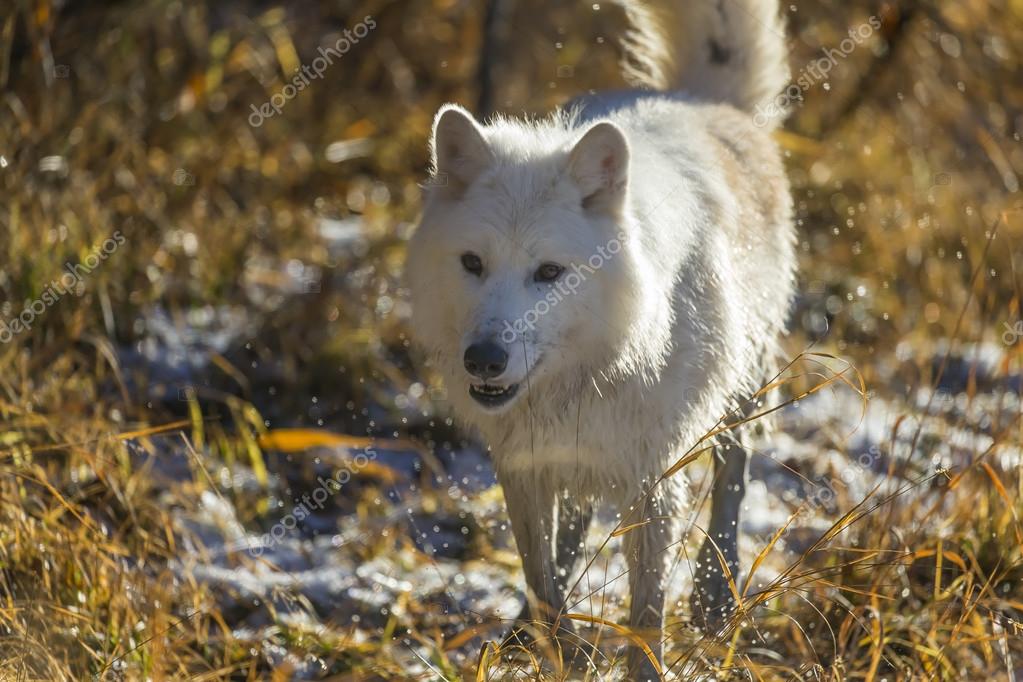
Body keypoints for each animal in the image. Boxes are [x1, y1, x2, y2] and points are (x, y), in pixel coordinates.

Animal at [405, 0, 794, 677]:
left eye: (549, 273)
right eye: (472, 263)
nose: (483, 360)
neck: (602, 362)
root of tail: (700, 98)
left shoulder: (653, 479)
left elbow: (646, 615)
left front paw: (639, 662)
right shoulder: (523, 467)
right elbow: (542, 582)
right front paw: (561, 651)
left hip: (738, 387)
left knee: (734, 468)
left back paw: (714, 596)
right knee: (575, 525)